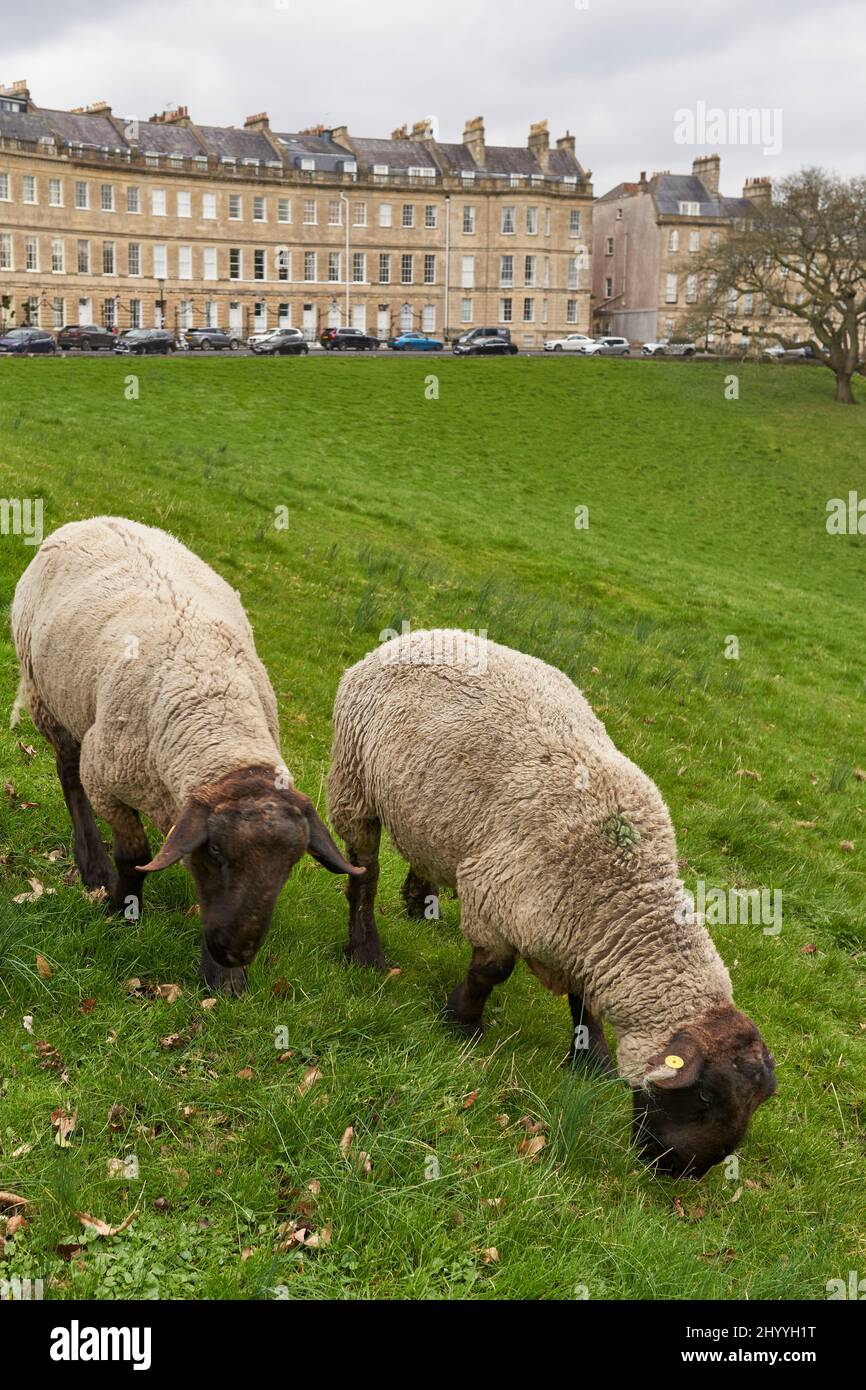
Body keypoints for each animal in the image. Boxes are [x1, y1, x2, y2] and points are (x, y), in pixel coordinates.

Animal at [11, 516, 361, 994]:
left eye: (290, 864)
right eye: (216, 851)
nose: (236, 952)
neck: (215, 708)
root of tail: (98, 519)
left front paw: (224, 978)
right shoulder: (107, 781)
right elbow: (134, 855)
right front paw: (121, 909)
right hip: (50, 700)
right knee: (68, 774)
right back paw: (92, 865)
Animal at [327, 628, 776, 1177]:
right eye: (706, 1098)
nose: (678, 1170)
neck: (621, 887)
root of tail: (418, 634)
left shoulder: (578, 931)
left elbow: (584, 999)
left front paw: (591, 1059)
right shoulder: (496, 899)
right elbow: (490, 972)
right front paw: (462, 1022)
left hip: (428, 816)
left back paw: (420, 902)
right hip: (354, 784)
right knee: (363, 876)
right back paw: (366, 950)